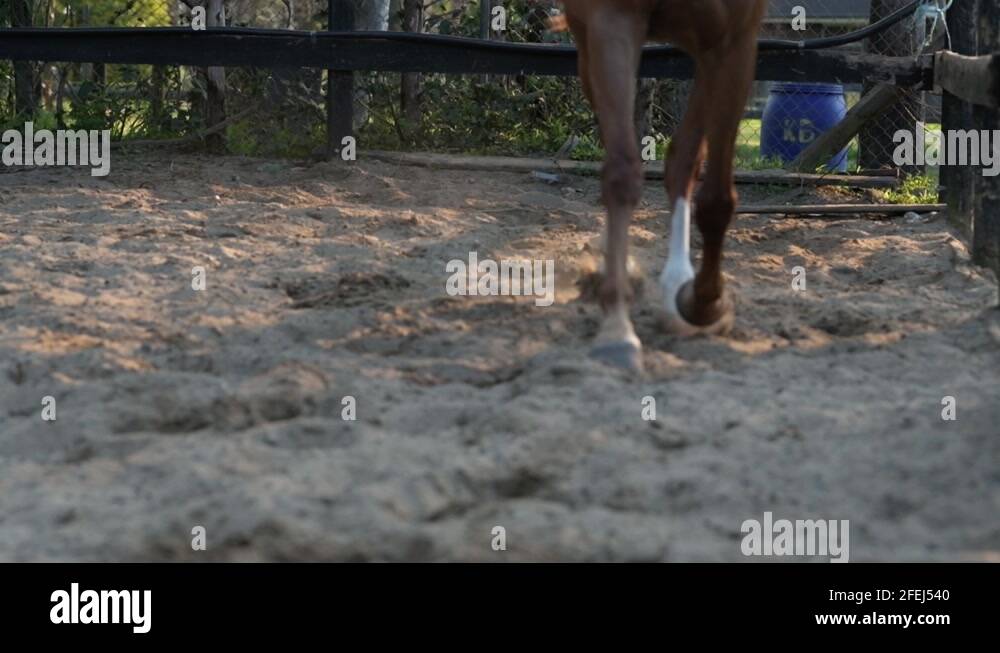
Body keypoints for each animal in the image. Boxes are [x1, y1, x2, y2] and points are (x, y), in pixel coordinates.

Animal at [553, 0, 767, 373]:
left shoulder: (733, 42)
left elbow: (716, 198)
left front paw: (703, 304)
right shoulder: (611, 20)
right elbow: (622, 171)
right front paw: (617, 331)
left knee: (683, 160)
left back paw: (677, 284)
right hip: (589, 43)